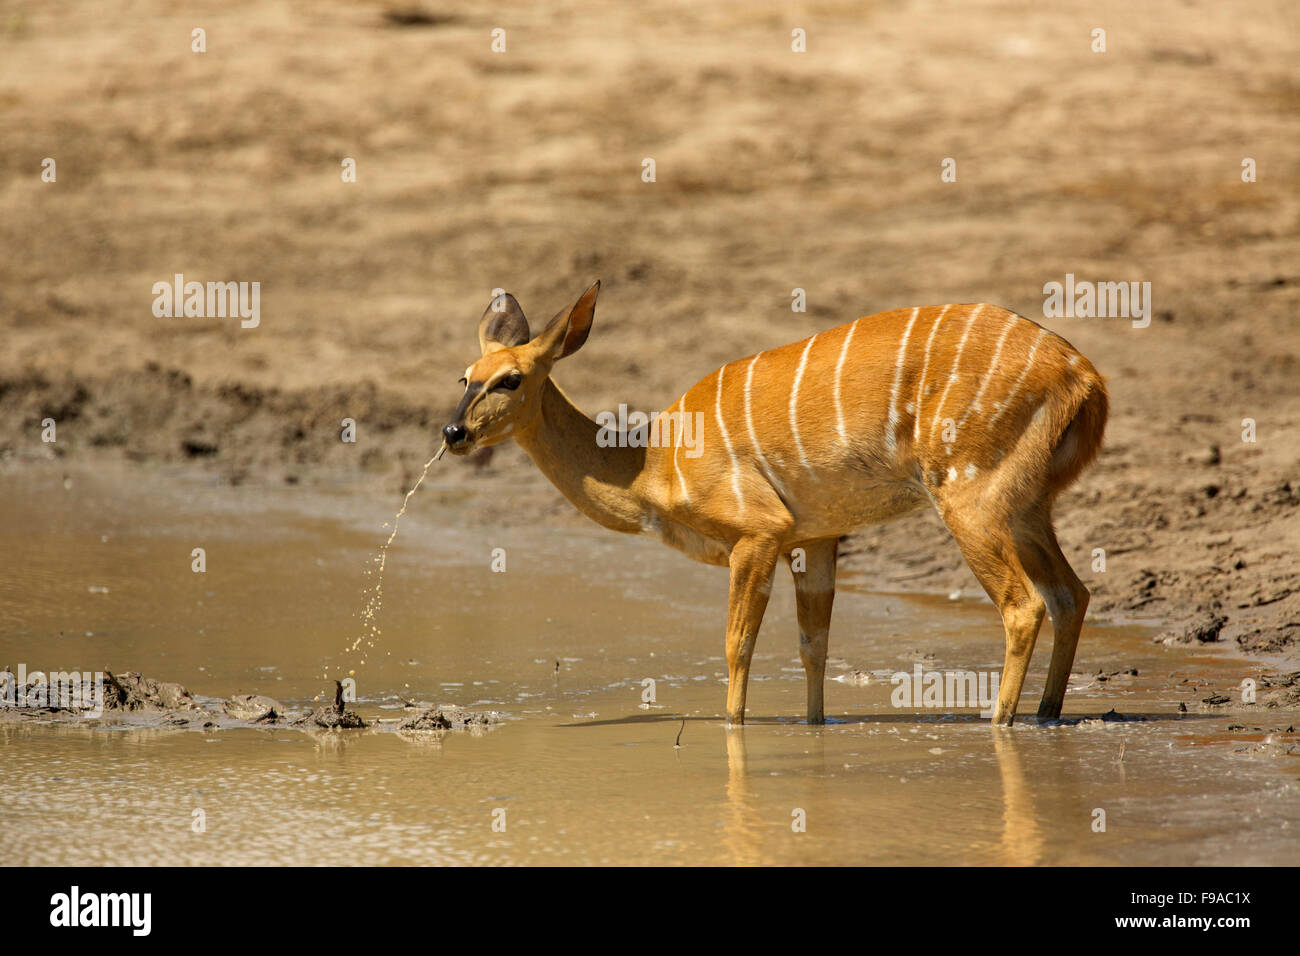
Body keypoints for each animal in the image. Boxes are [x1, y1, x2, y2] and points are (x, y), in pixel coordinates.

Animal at [442, 282, 1108, 726]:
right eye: (465, 377)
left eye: (510, 380)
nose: (454, 434)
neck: (653, 463)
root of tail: (1084, 374)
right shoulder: (815, 538)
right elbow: (814, 646)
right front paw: (815, 727)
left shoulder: (759, 533)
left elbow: (738, 645)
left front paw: (733, 730)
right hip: (1026, 506)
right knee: (1071, 594)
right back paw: (1047, 714)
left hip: (969, 498)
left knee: (1024, 605)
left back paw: (1000, 724)